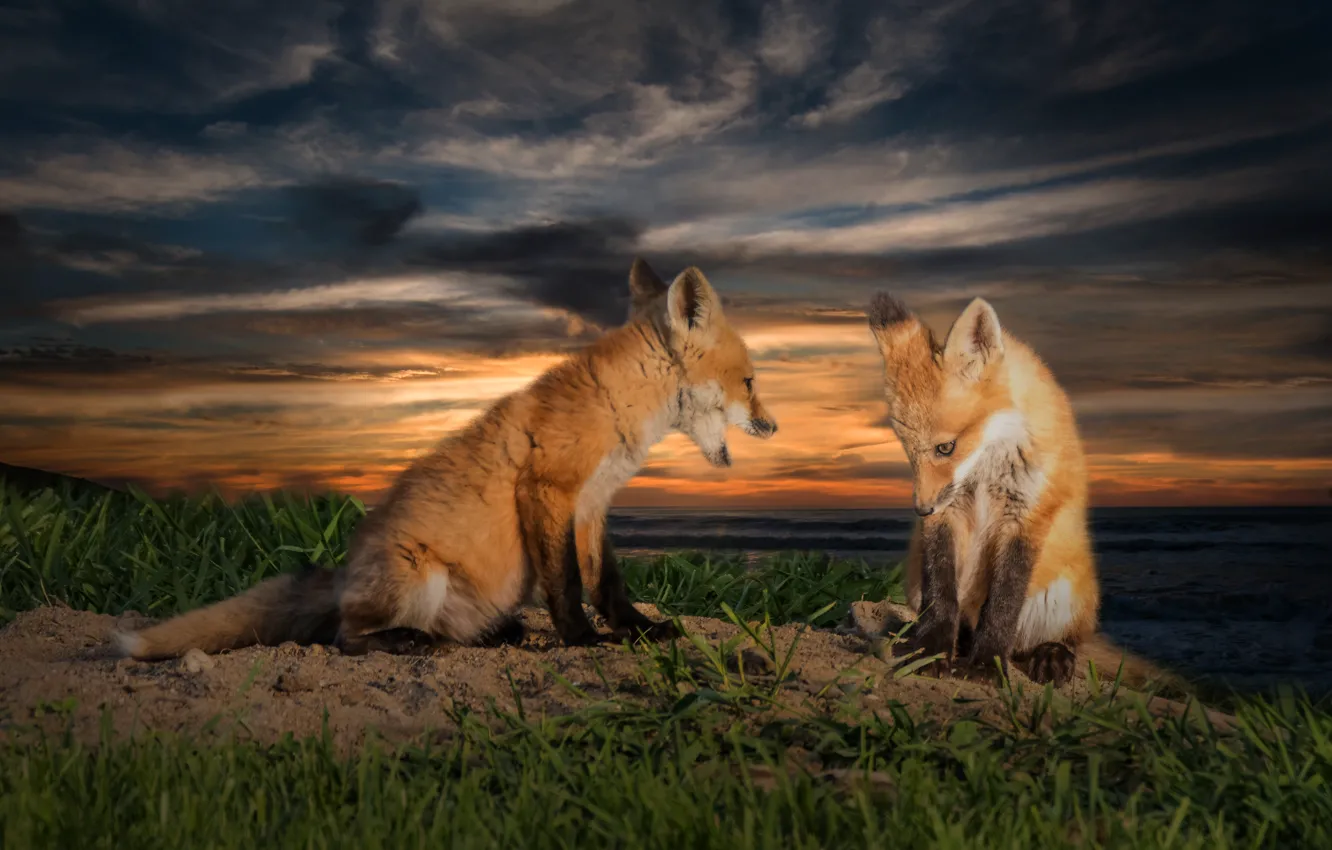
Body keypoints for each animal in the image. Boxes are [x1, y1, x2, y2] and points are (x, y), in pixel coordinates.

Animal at [115, 259, 778, 660]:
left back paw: (498, 635)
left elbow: (606, 582)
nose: (773, 427)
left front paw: (638, 631)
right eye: (749, 382)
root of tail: (342, 577)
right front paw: (582, 641)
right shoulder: (549, 490)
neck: (618, 404)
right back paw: (408, 642)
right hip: (416, 577)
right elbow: (566, 584)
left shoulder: (592, 505)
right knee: (345, 637)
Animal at [867, 292, 1171, 689]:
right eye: (906, 450)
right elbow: (941, 593)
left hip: (1065, 594)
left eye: (946, 448)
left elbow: (1003, 604)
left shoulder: (1026, 516)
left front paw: (986, 665)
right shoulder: (946, 515)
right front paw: (931, 650)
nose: (921, 510)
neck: (986, 470)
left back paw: (1051, 654)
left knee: (1052, 641)